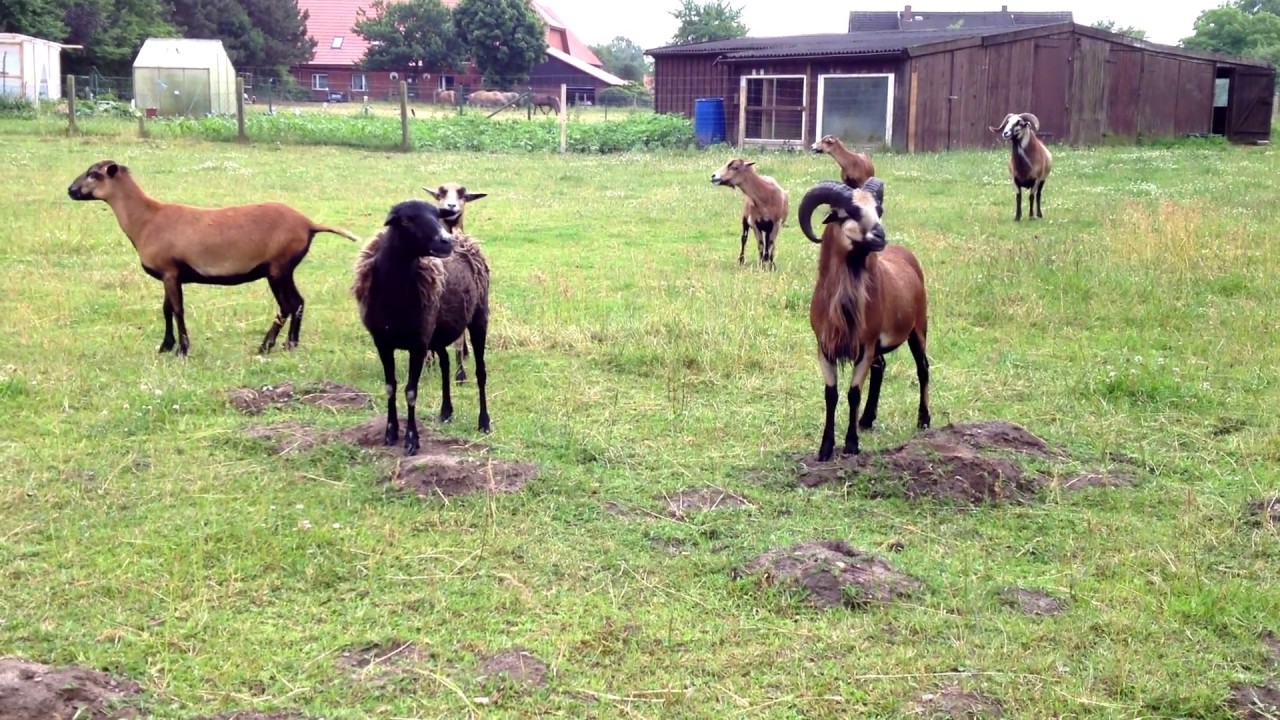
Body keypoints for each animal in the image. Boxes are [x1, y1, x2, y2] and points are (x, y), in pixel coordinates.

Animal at [66, 160, 360, 357]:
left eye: (93, 174)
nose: (70, 190)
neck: (147, 219)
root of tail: (309, 224)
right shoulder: (169, 274)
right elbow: (165, 309)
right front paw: (165, 346)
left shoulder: (171, 272)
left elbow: (177, 310)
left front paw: (183, 350)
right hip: (286, 269)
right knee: (298, 302)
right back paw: (291, 344)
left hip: (278, 267)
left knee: (287, 305)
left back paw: (265, 346)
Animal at [797, 179, 930, 461]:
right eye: (851, 212)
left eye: (878, 209)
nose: (880, 236)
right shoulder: (824, 347)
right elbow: (831, 394)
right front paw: (825, 449)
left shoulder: (865, 346)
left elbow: (853, 393)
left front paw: (851, 445)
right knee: (881, 368)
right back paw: (867, 420)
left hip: (918, 328)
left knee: (923, 368)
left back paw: (924, 420)